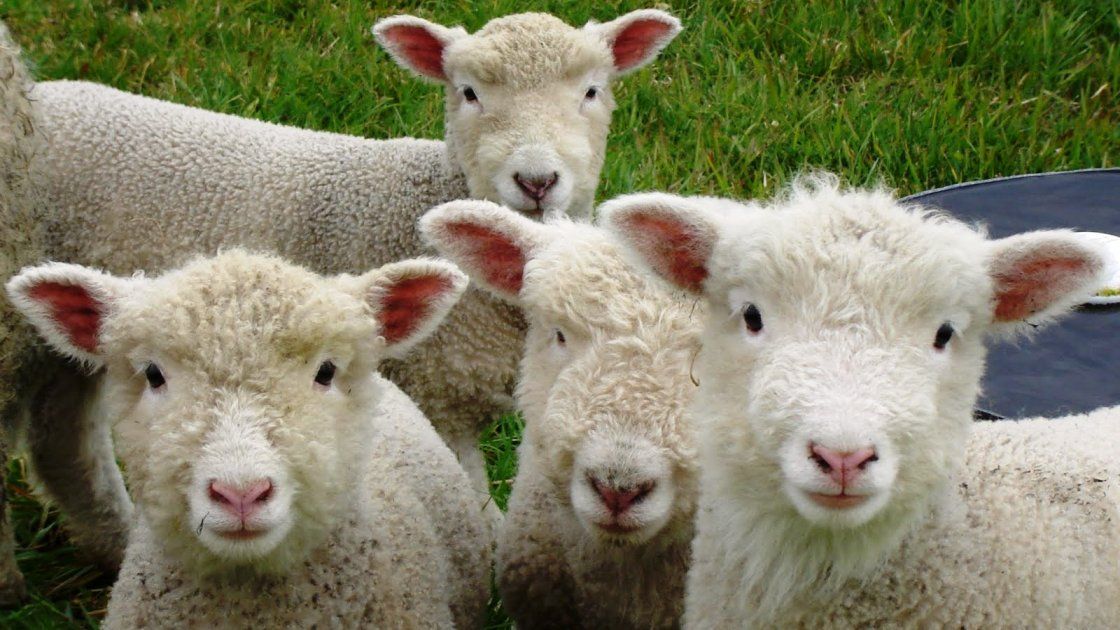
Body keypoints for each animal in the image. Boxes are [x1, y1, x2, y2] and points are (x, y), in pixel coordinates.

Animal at [27, 9, 682, 535]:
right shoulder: (434, 400)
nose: (537, 180)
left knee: (60, 441)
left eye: (593, 91)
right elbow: (468, 509)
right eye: (468, 93)